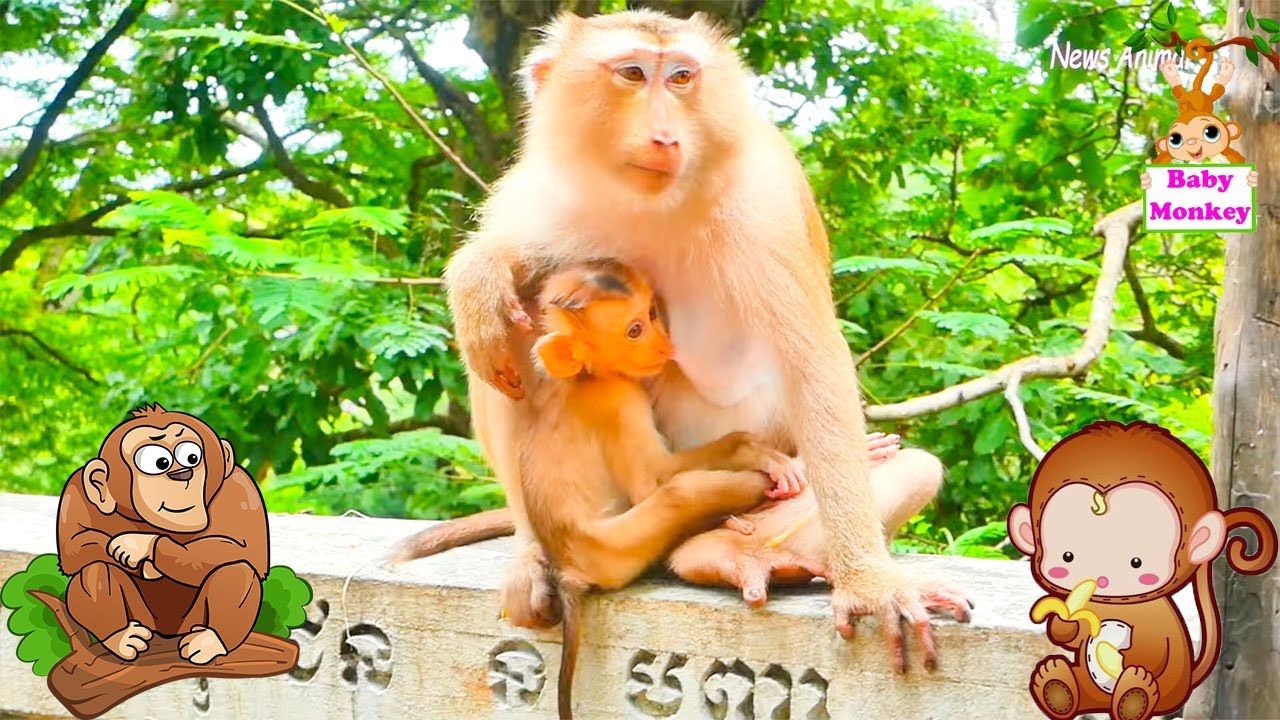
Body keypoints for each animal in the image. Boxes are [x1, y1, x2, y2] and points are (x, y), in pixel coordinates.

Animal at [56, 404, 269, 665]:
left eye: (192, 457)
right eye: (160, 462)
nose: (183, 475)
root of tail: (168, 633)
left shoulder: (242, 489)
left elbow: (245, 548)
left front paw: (140, 546)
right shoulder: (75, 491)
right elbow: (74, 545)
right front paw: (140, 558)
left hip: (191, 622)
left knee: (236, 568)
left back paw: (210, 641)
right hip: (143, 619)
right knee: (97, 567)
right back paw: (121, 638)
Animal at [443, 9, 964, 671]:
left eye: (682, 77)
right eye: (633, 73)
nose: (666, 136)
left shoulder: (762, 204)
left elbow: (813, 363)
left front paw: (870, 580)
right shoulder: (540, 191)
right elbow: (509, 281)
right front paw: (478, 276)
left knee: (905, 465)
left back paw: (729, 552)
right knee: (505, 348)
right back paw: (542, 553)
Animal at [511, 259, 803, 719]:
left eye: (651, 314)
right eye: (635, 330)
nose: (665, 344)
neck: (587, 377)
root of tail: (568, 571)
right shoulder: (618, 400)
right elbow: (653, 481)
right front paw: (753, 451)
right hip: (614, 550)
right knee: (677, 493)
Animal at [1006, 421, 1277, 720]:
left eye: (1137, 561)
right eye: (1068, 556)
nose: (1102, 578)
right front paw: (1068, 621)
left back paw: (1134, 691)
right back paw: (1058, 684)